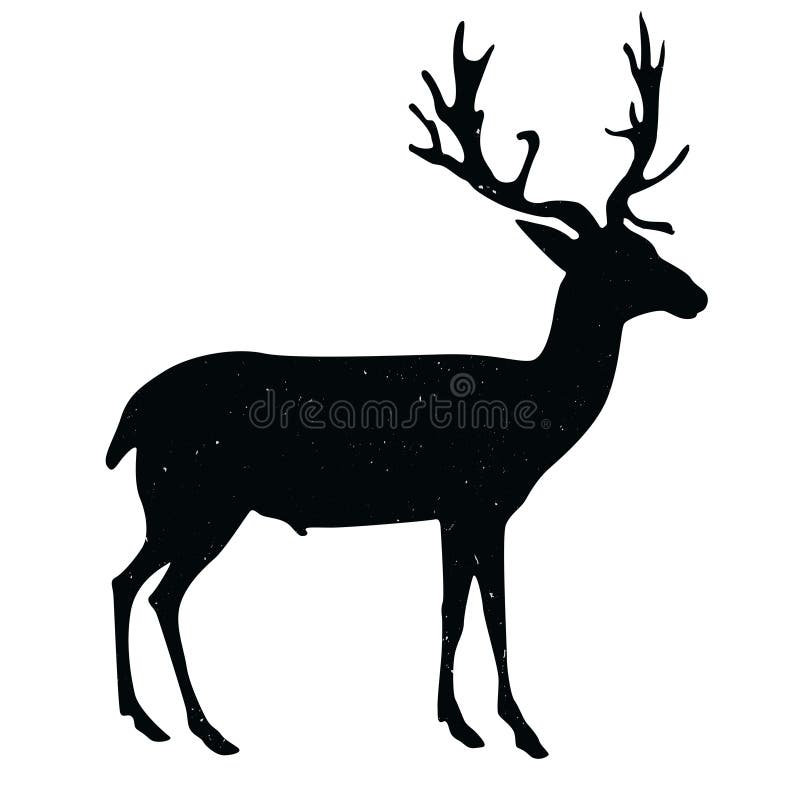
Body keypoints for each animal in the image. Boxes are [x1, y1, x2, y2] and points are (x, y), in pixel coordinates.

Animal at [107, 16, 707, 758]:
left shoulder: (460, 510)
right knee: (146, 588)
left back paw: (165, 721)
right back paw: (189, 724)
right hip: (195, 495)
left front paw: (465, 720)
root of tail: (129, 417)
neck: (535, 418)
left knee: (141, 586)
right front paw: (513, 728)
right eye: (618, 262)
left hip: (185, 503)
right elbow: (483, 611)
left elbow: (461, 609)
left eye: (648, 246)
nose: (697, 295)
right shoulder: (479, 498)